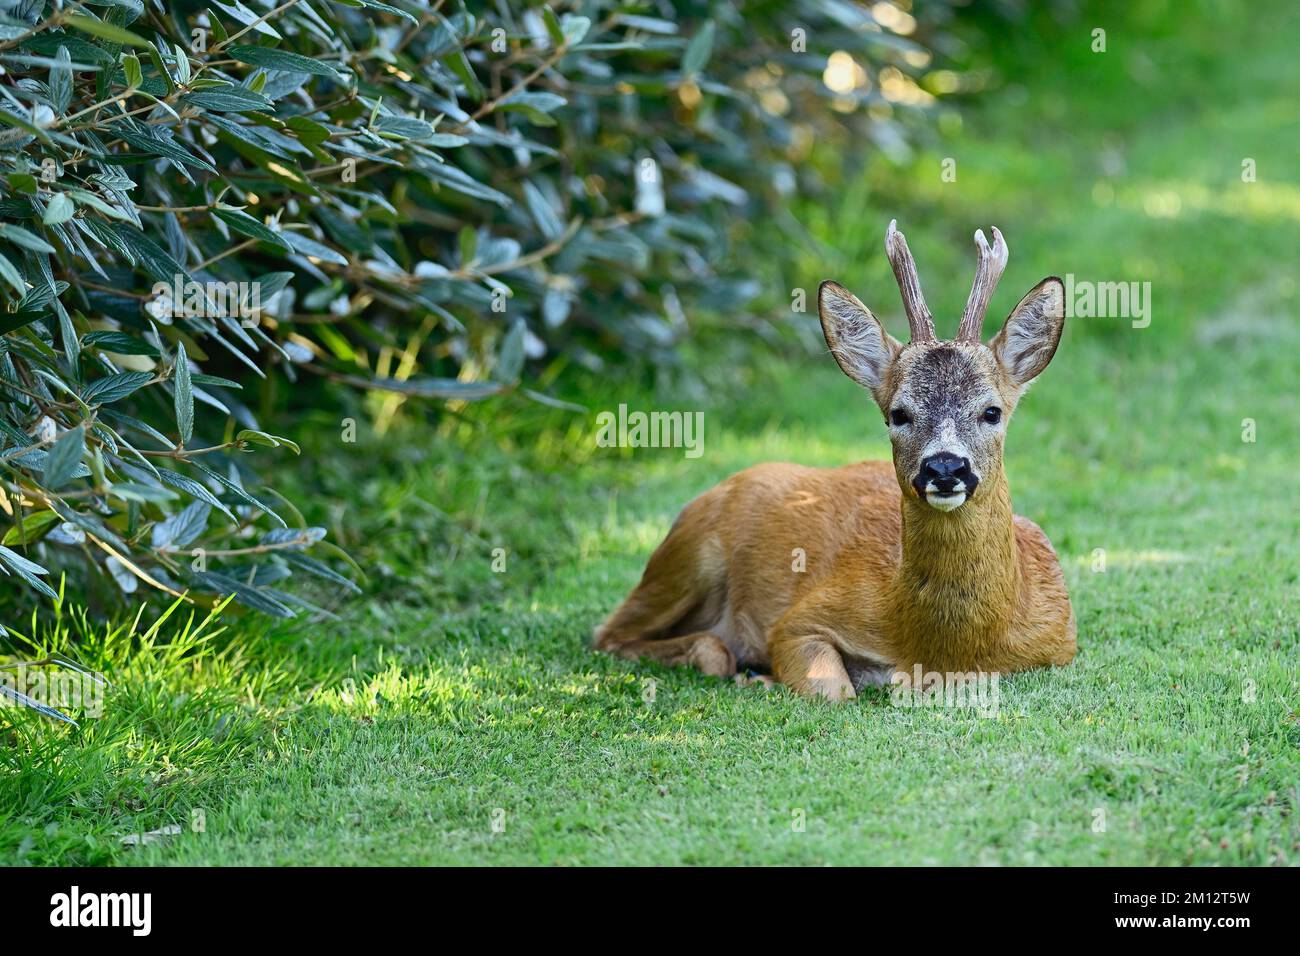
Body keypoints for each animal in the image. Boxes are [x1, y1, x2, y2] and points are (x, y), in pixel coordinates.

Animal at [594, 221, 1077, 700]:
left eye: (991, 411)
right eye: (898, 414)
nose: (944, 467)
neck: (948, 650)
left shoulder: (1061, 643)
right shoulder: (804, 618)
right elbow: (833, 690)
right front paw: (772, 675)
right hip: (687, 558)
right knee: (612, 634)